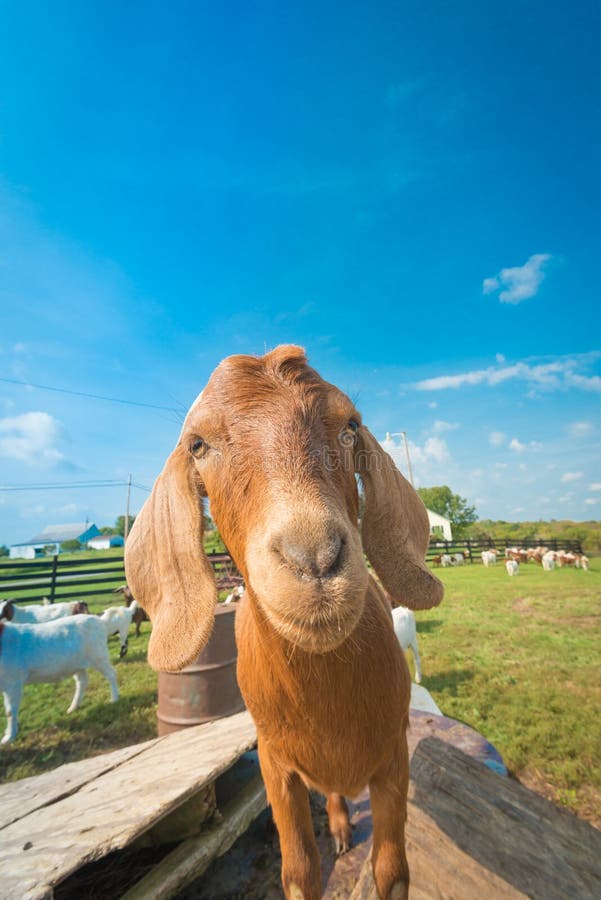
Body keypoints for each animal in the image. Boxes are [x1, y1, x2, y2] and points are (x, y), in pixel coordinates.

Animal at [0, 615, 118, 744]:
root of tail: (100, 620)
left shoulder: (13, 680)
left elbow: (10, 711)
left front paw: (8, 738)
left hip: (98, 656)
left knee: (111, 674)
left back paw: (114, 699)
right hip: (76, 665)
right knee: (82, 681)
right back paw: (73, 707)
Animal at [125, 345, 443, 900]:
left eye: (350, 427)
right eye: (198, 444)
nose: (313, 558)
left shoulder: (393, 758)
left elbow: (391, 869)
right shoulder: (276, 765)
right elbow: (298, 870)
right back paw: (338, 825)